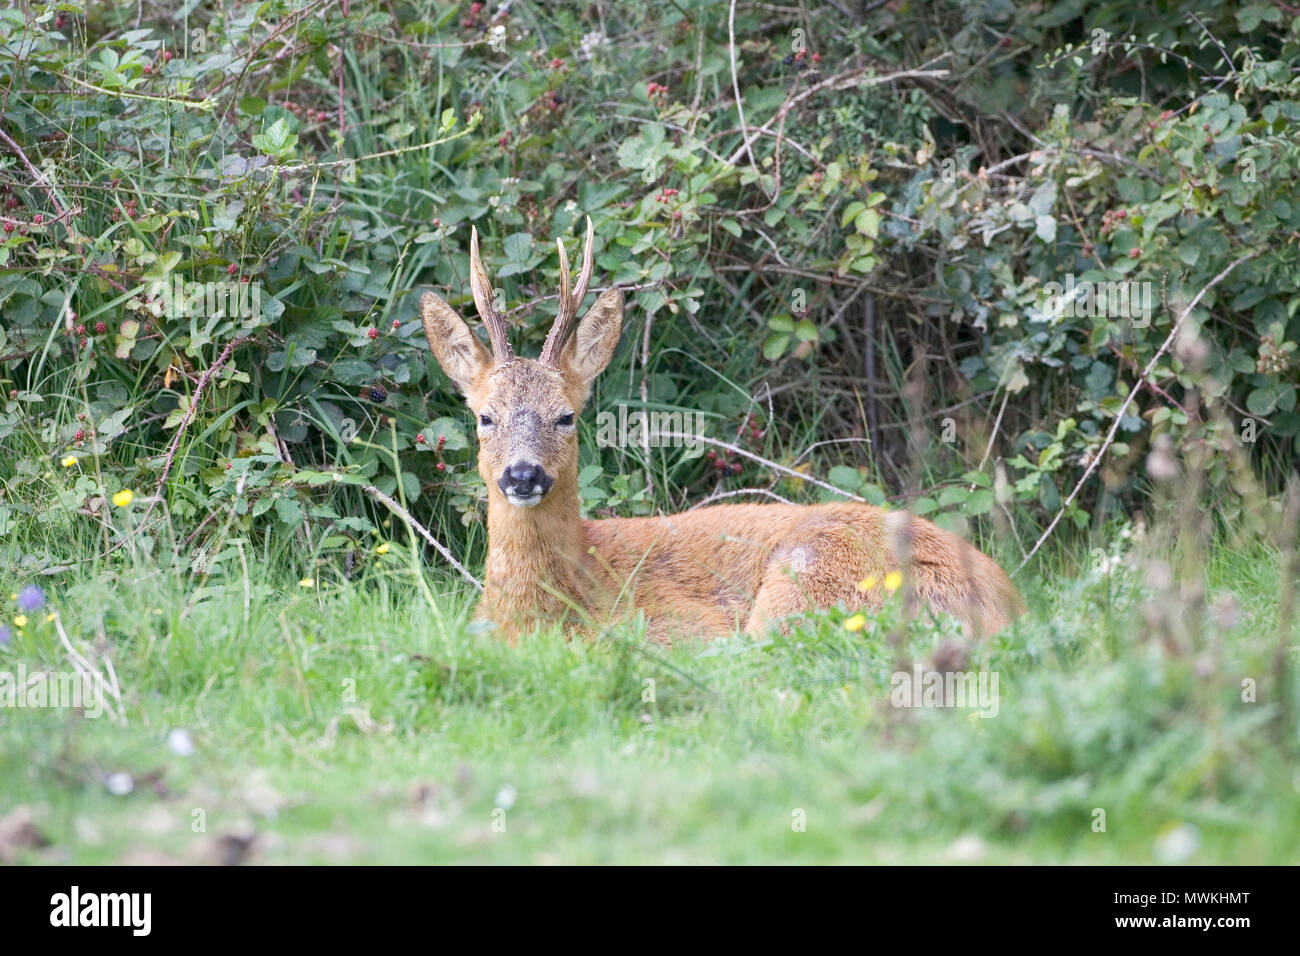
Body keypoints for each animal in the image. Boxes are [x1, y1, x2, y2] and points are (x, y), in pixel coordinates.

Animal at [420, 218, 1026, 643]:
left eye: (566, 415)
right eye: (485, 416)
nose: (523, 475)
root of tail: (1006, 606)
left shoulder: (680, 624)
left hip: (805, 580)